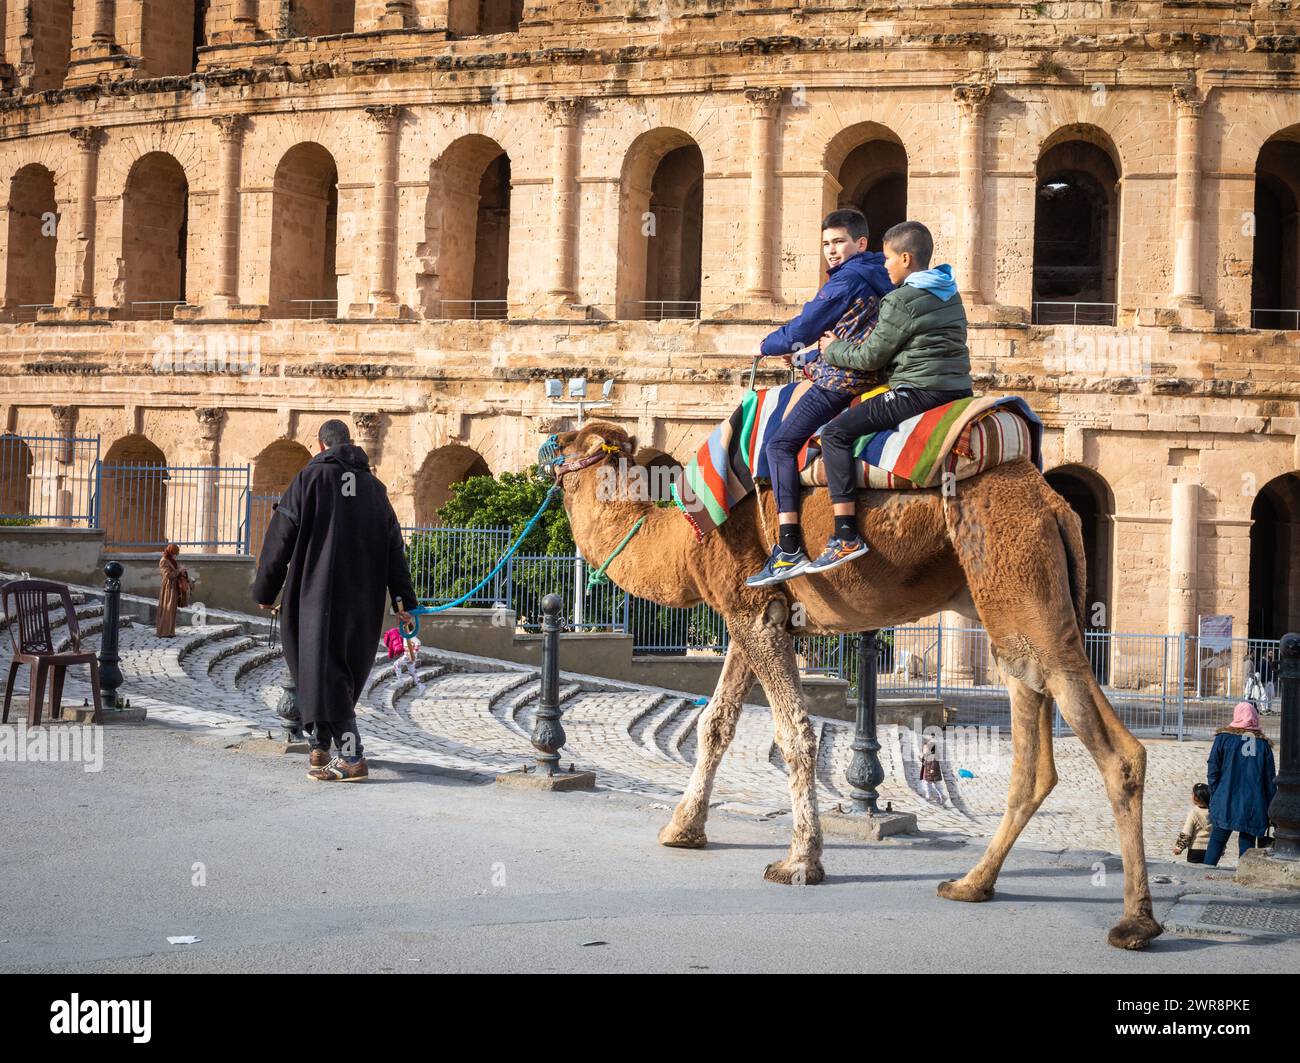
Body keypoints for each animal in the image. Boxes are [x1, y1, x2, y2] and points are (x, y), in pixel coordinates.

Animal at [548, 420, 1162, 950]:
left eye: (571, 440)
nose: (546, 437)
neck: (680, 539)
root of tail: (1056, 504)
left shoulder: (750, 610)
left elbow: (794, 733)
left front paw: (799, 863)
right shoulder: (754, 612)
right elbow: (715, 723)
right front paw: (682, 830)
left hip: (1021, 581)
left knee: (1116, 749)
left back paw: (1135, 923)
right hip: (1014, 602)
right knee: (1033, 743)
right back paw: (971, 884)